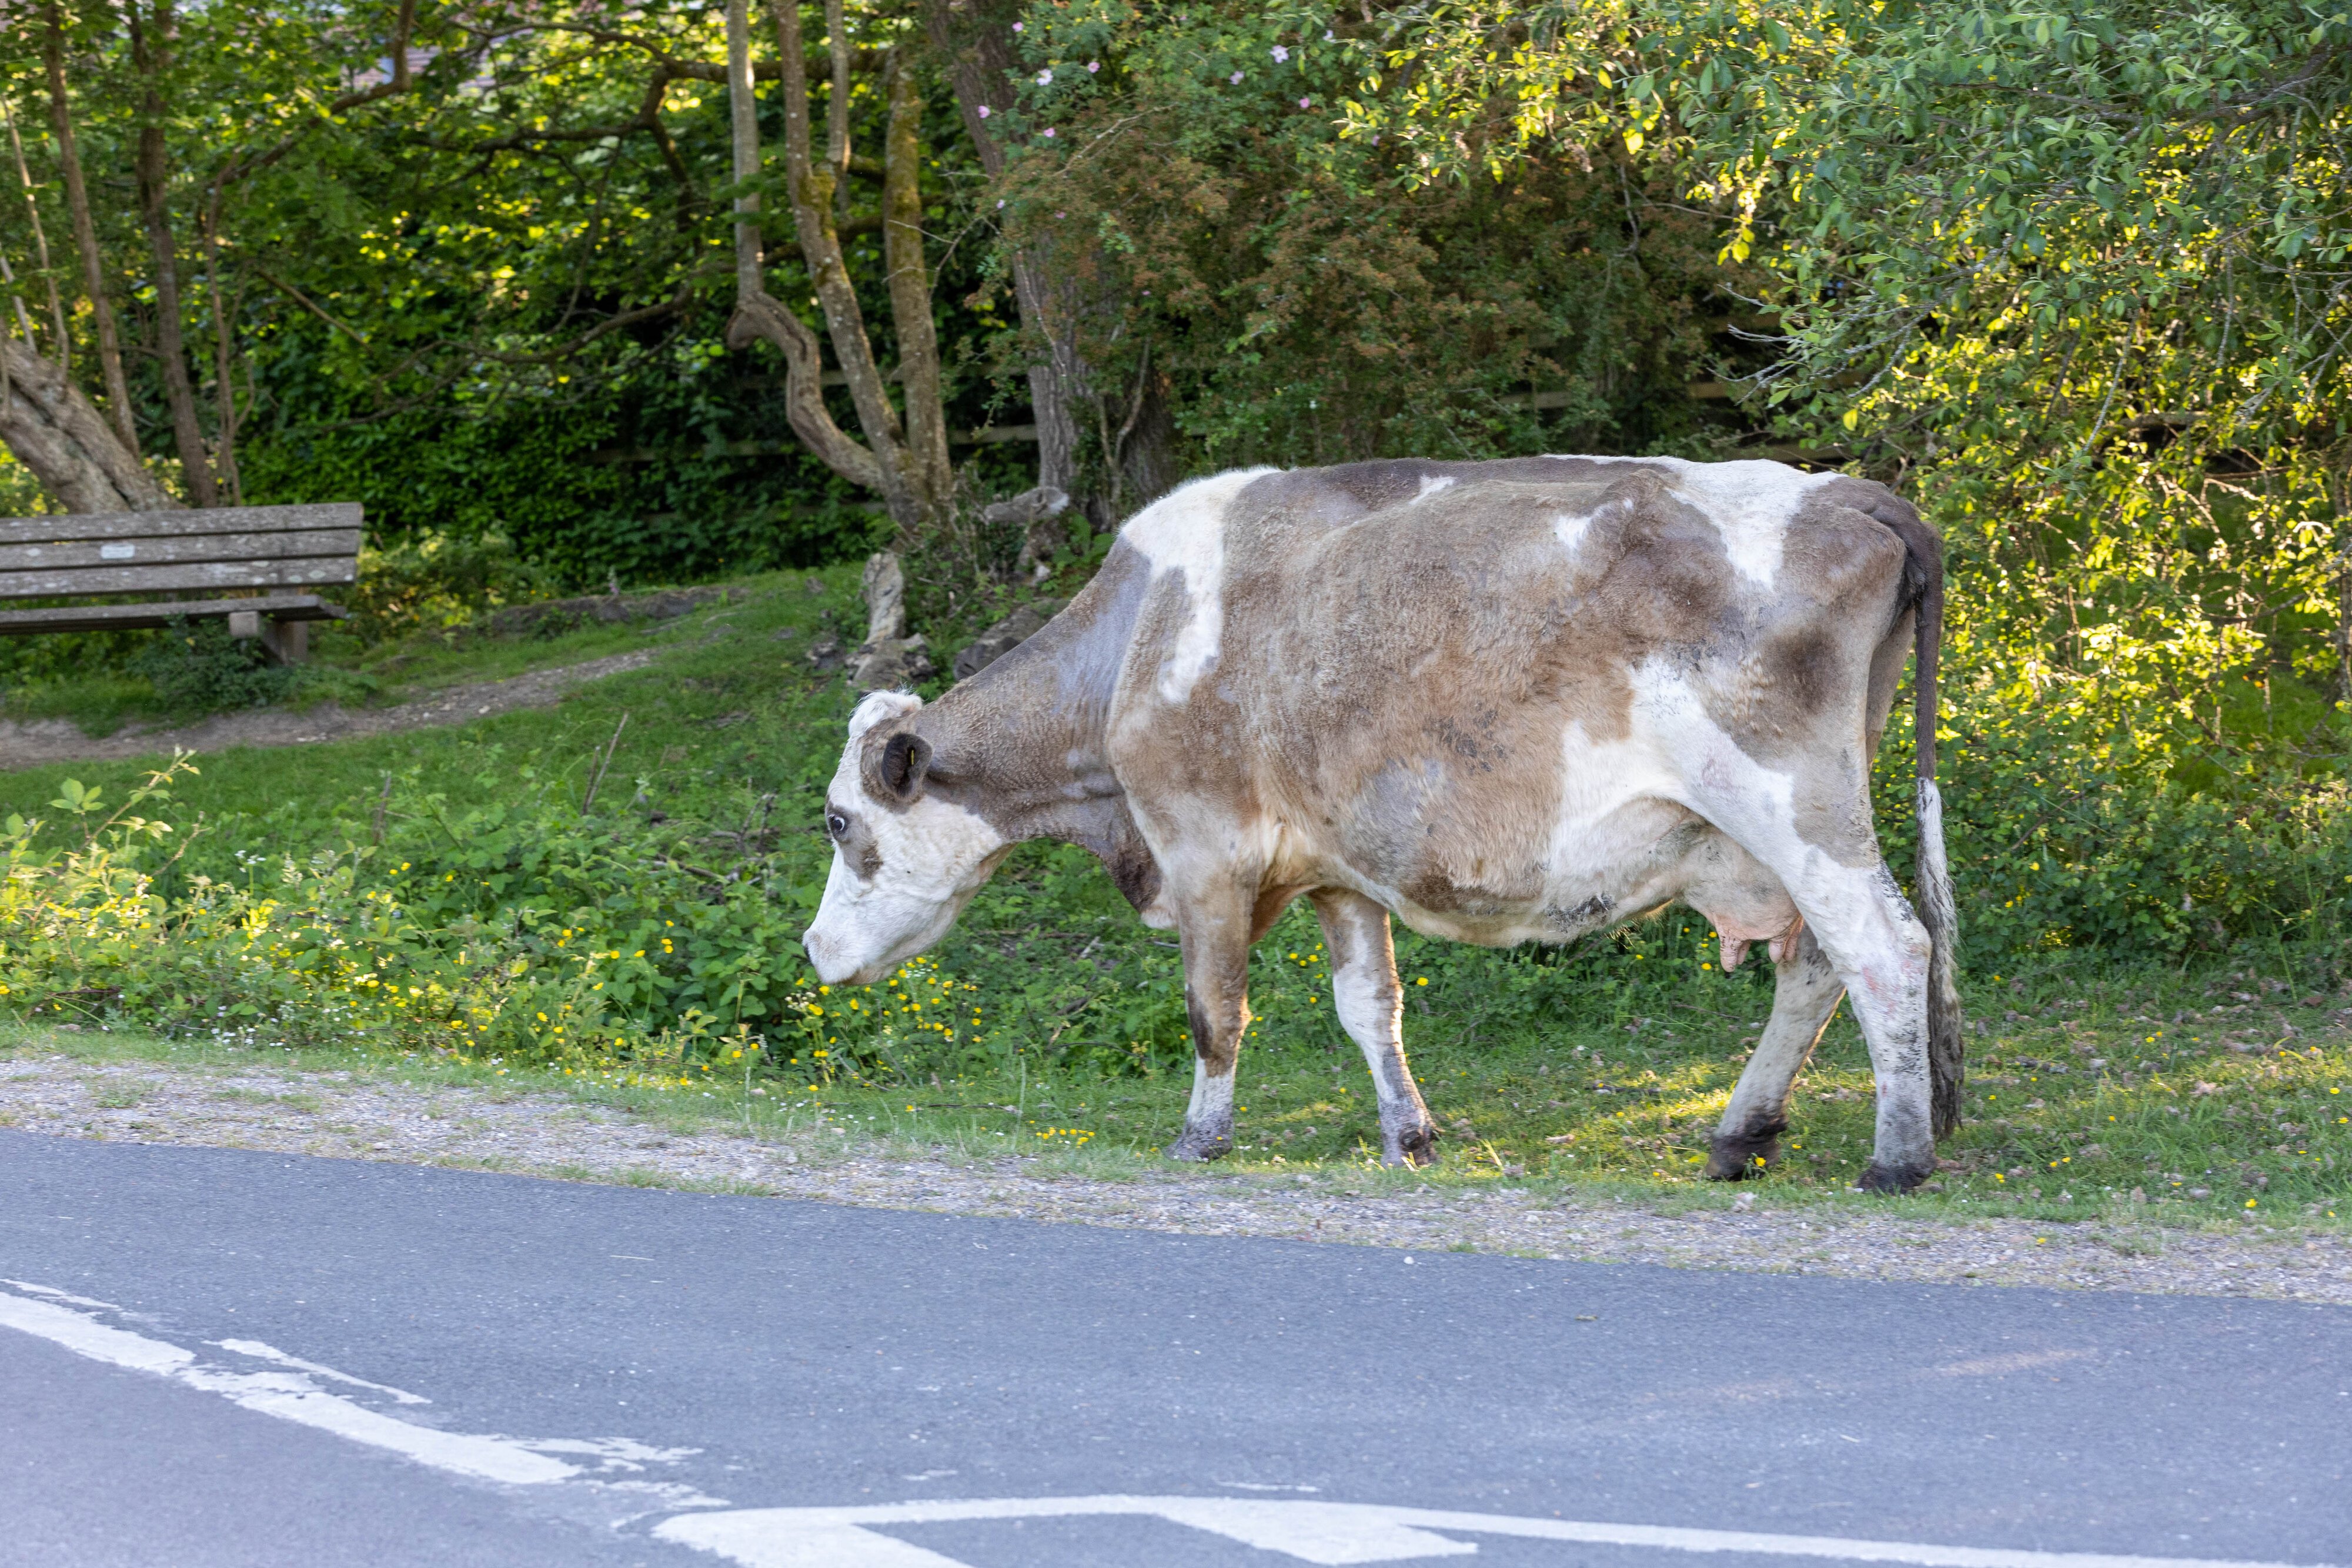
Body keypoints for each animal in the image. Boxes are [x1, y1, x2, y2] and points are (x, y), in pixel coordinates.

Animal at [800, 457, 1965, 1191]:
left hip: (1791, 804)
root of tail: (1848, 493)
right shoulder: (1336, 867)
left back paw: (1896, 1158)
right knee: (1817, 964)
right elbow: (1370, 1008)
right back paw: (1740, 1137)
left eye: (840, 819)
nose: (813, 948)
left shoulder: (1203, 847)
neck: (1138, 641)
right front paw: (1410, 1134)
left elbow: (1213, 1010)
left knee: (1885, 947)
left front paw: (1200, 1136)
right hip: (1778, 829)